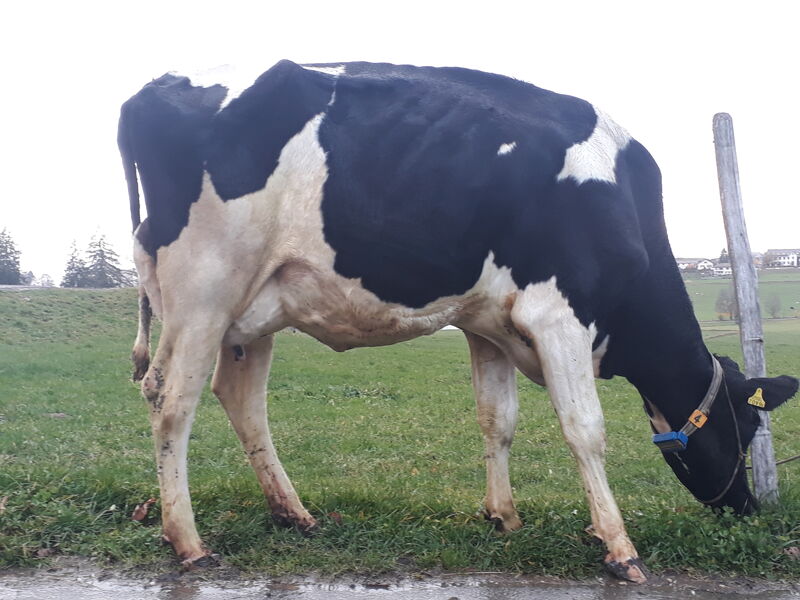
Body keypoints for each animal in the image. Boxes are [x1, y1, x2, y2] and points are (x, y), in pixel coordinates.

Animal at [118, 60, 798, 582]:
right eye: (746, 426)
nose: (744, 507)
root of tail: (152, 86)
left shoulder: (488, 323)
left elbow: (498, 420)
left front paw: (504, 517)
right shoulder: (559, 315)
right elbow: (585, 429)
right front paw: (619, 547)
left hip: (253, 311)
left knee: (240, 399)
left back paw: (294, 514)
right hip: (204, 289)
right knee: (170, 400)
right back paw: (188, 542)